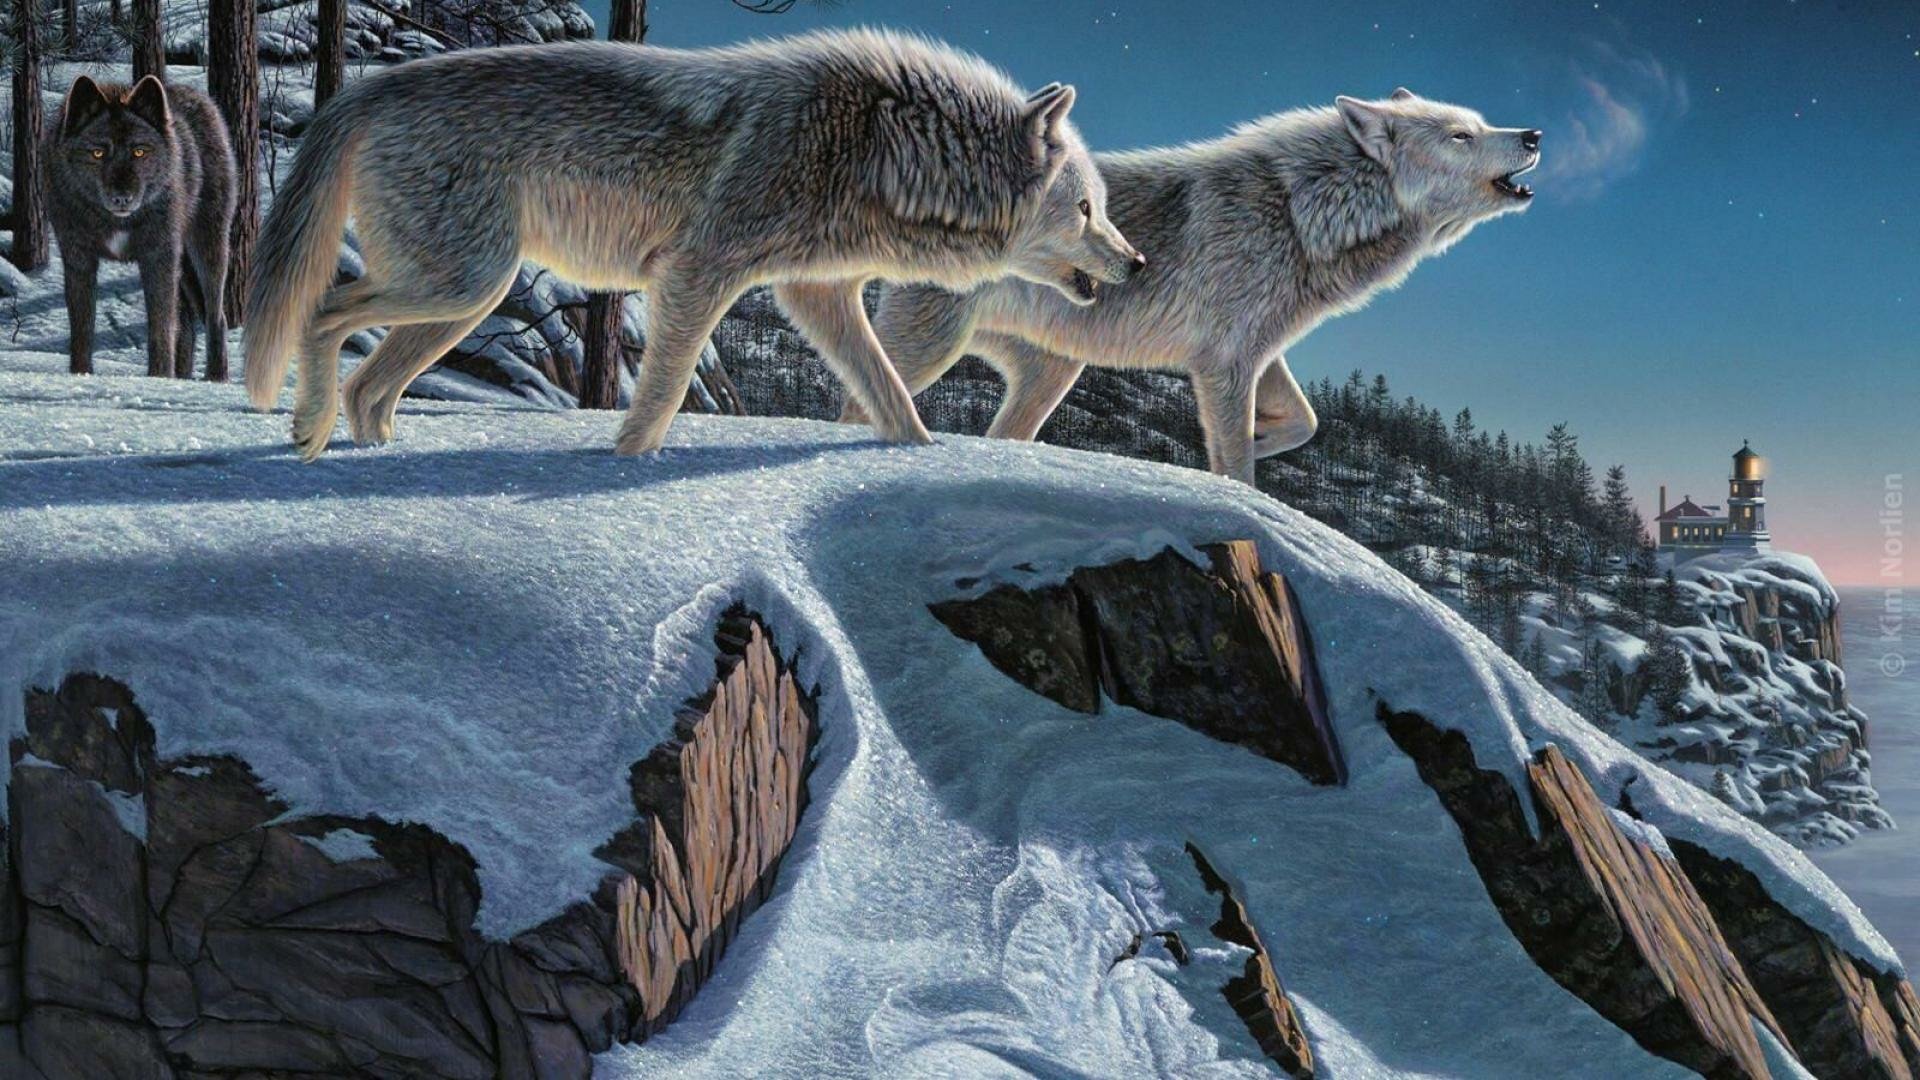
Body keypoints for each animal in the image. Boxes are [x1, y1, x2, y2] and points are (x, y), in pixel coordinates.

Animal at [46, 75, 237, 379]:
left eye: (139, 152)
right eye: (98, 153)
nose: (122, 198)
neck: (116, 220)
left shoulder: (158, 258)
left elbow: (160, 329)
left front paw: (159, 378)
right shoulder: (78, 259)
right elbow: (82, 330)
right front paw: (81, 374)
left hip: (207, 250)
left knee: (216, 316)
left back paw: (215, 379)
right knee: (186, 320)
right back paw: (183, 377)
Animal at [245, 29, 1144, 461]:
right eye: (1087, 209)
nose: (1135, 262)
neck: (882, 148)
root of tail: (368, 87)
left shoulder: (815, 293)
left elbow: (889, 394)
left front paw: (922, 459)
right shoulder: (697, 273)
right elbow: (666, 391)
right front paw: (626, 463)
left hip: (468, 298)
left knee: (370, 385)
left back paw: (370, 457)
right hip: (463, 286)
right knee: (323, 312)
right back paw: (307, 435)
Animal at [858, 89, 1541, 484]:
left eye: (1480, 124)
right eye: (1461, 136)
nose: (1533, 135)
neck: (1303, 211)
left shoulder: (1257, 355)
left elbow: (1306, 422)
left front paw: (1247, 444)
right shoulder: (1224, 365)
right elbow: (1238, 465)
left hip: (1051, 372)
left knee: (999, 436)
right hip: (933, 348)